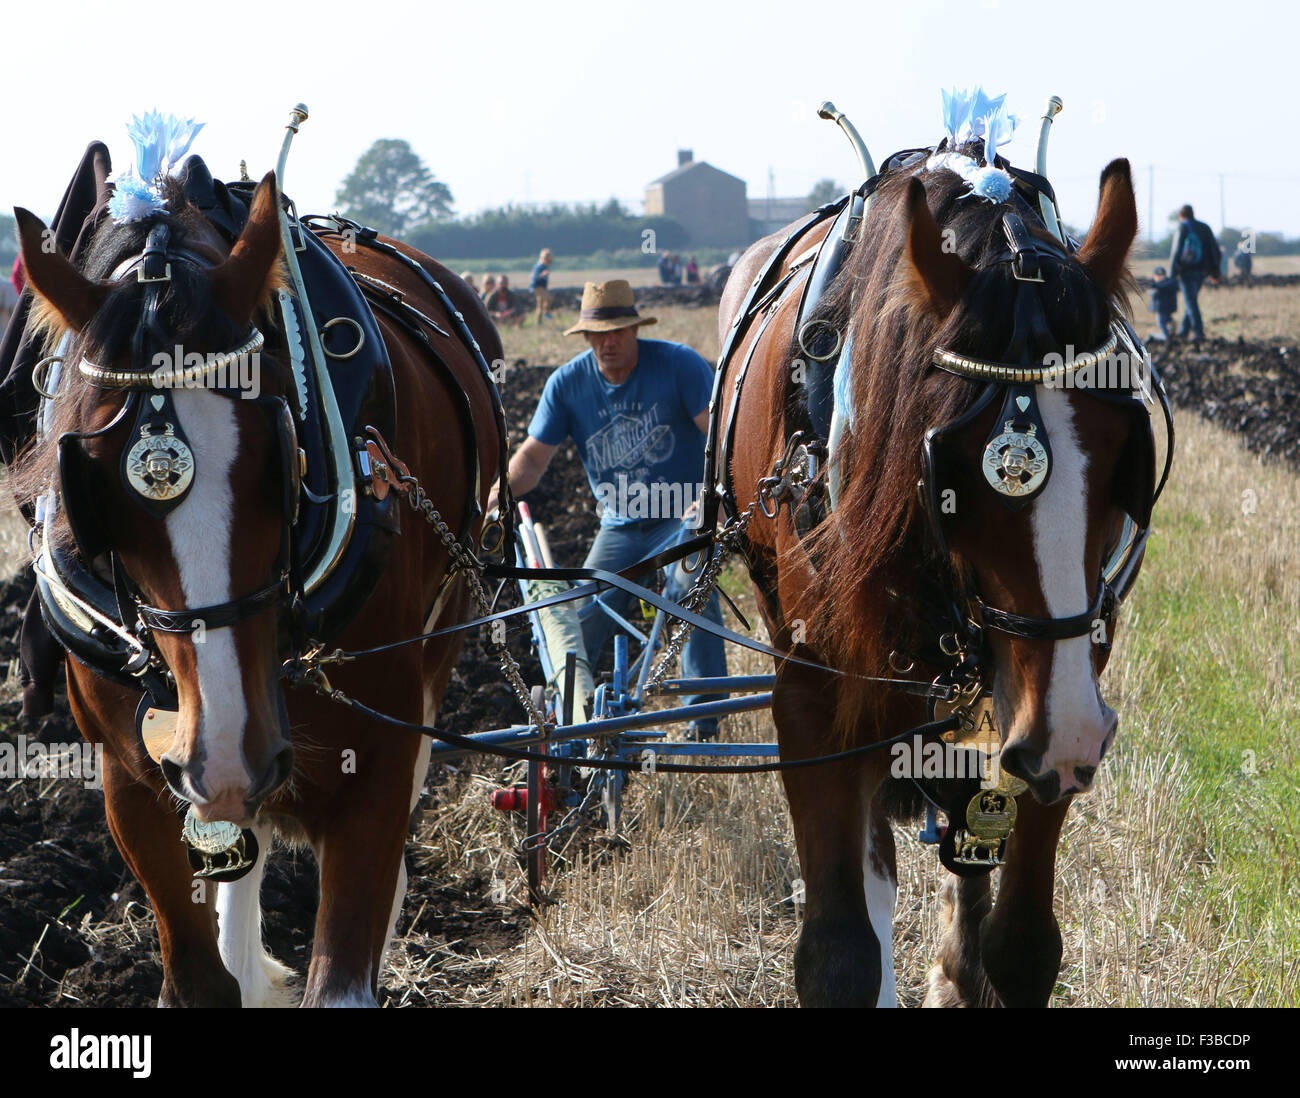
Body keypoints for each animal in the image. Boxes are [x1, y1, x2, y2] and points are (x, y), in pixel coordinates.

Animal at [10, 172, 503, 1006]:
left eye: (282, 460)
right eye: (92, 483)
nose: (228, 747)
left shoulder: (373, 760)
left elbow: (344, 972)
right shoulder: (132, 779)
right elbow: (197, 974)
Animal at [718, 148, 1153, 1006]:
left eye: (1126, 451)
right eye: (956, 466)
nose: (1071, 728)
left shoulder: (1060, 702)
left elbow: (1023, 945)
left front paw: (973, 965)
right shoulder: (813, 698)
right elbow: (839, 954)